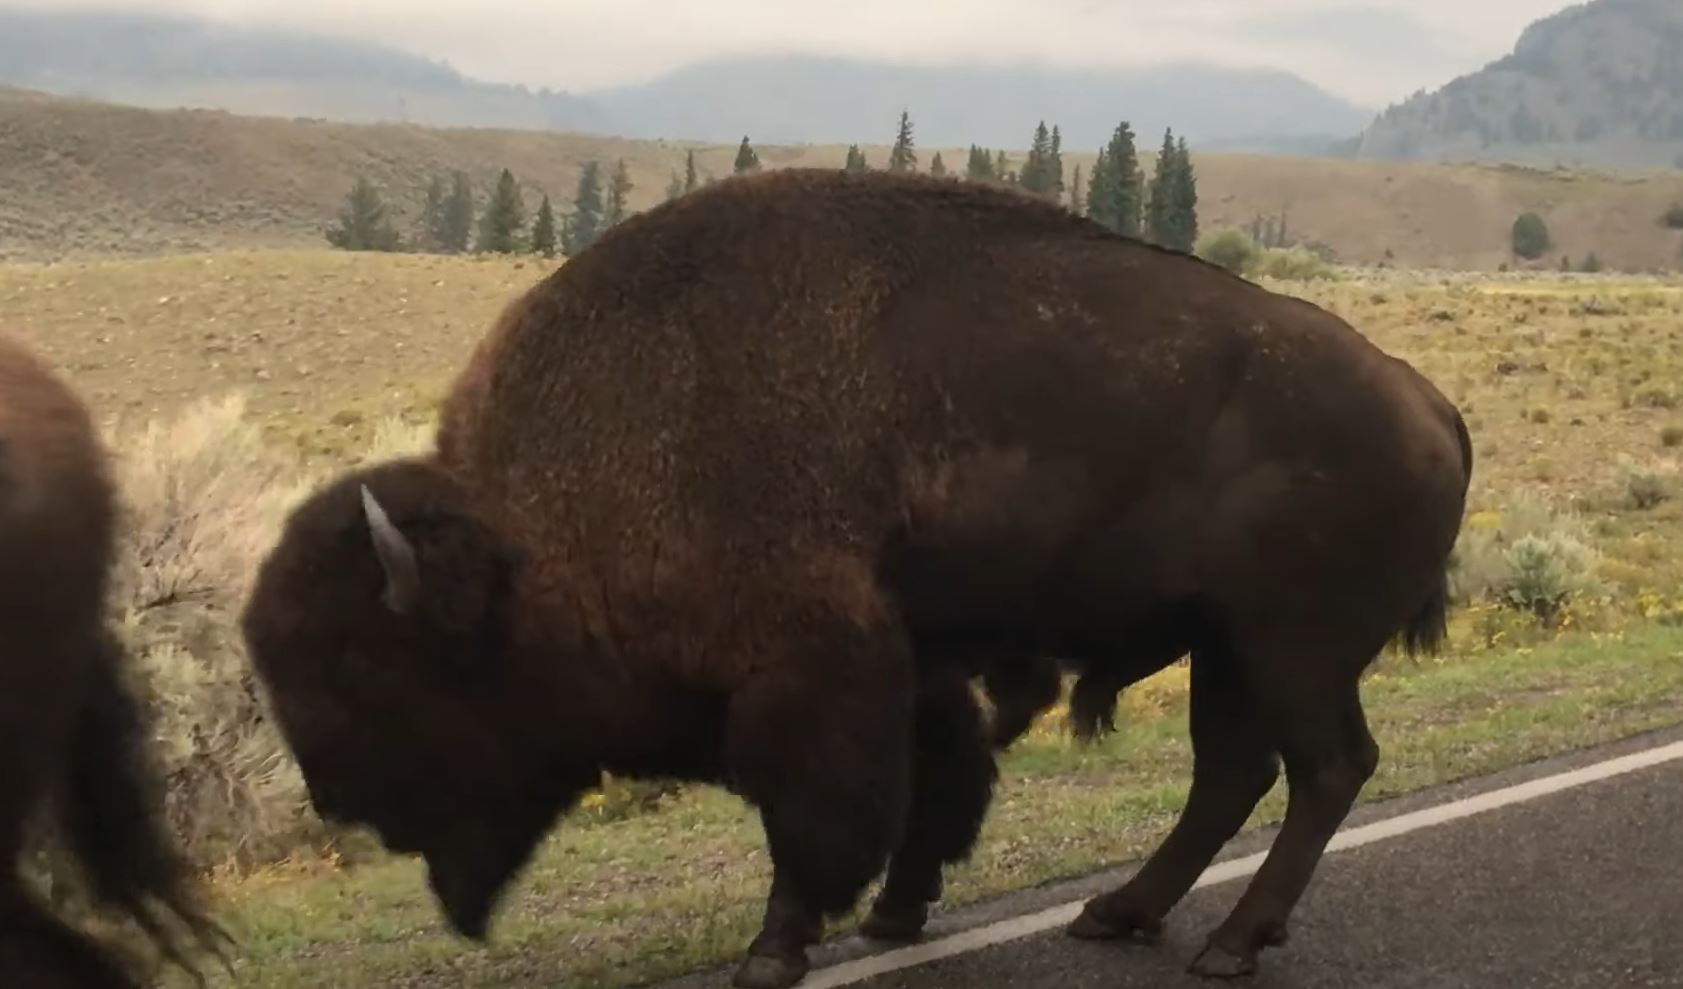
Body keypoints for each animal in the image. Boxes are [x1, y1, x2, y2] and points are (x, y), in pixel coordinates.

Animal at [241, 168, 1471, 988]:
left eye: (372, 671)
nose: (334, 798)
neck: (534, 534)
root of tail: (1426, 399)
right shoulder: (910, 660)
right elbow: (936, 782)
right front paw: (893, 916)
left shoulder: (808, 673)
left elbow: (813, 815)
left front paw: (773, 950)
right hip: (1226, 646)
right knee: (1233, 773)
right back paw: (1120, 911)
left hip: (1290, 648)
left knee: (1323, 767)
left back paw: (1227, 941)